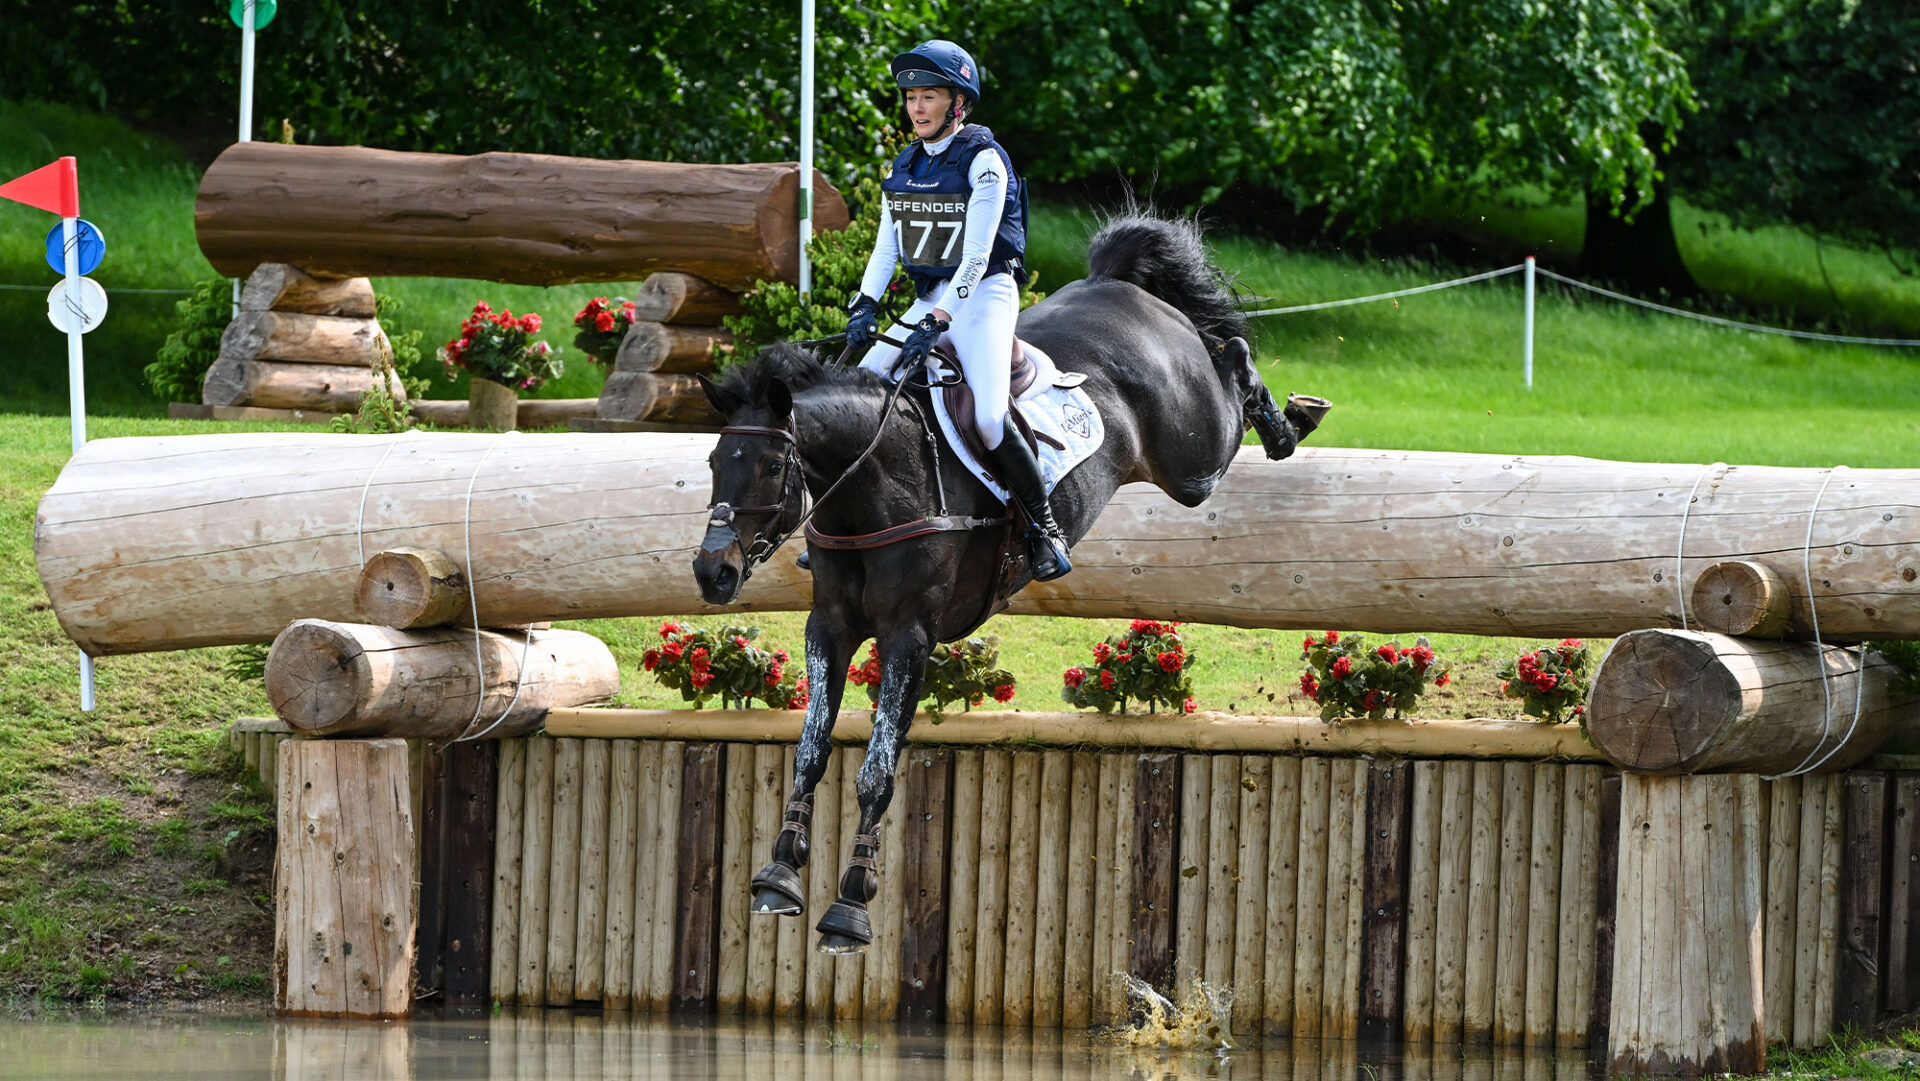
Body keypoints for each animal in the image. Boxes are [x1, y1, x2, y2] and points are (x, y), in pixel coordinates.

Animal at [691, 212, 1323, 954]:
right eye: (714, 460)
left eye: (769, 467)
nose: (712, 571)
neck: (874, 484)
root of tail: (1115, 284)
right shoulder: (831, 627)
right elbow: (811, 751)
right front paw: (779, 876)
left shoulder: (909, 637)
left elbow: (877, 773)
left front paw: (849, 907)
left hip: (1192, 459)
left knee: (1234, 357)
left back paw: (1292, 420)